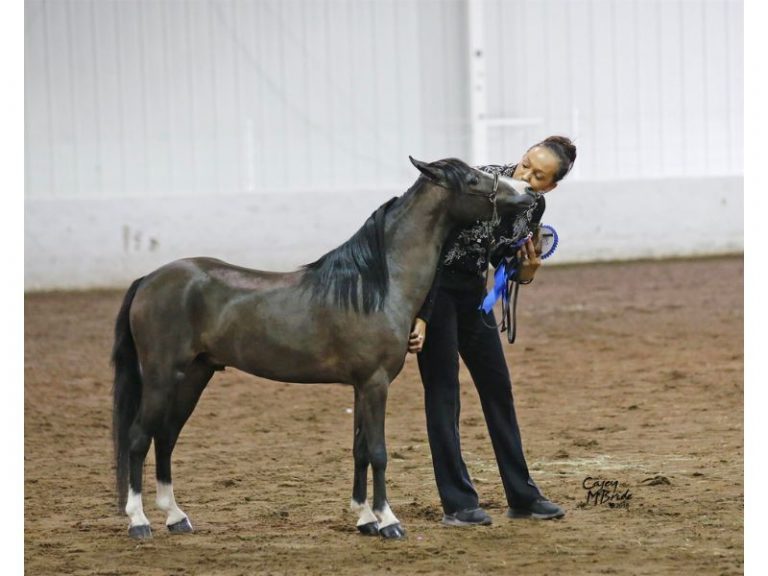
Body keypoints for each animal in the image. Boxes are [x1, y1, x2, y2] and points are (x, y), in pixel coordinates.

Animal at [112, 156, 538, 540]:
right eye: (473, 179)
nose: (529, 192)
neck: (377, 285)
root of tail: (149, 279)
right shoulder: (375, 383)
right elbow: (378, 452)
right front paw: (388, 521)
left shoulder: (361, 386)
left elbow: (360, 449)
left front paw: (365, 520)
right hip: (162, 377)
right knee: (138, 438)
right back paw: (139, 521)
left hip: (195, 375)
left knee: (166, 436)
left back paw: (176, 517)